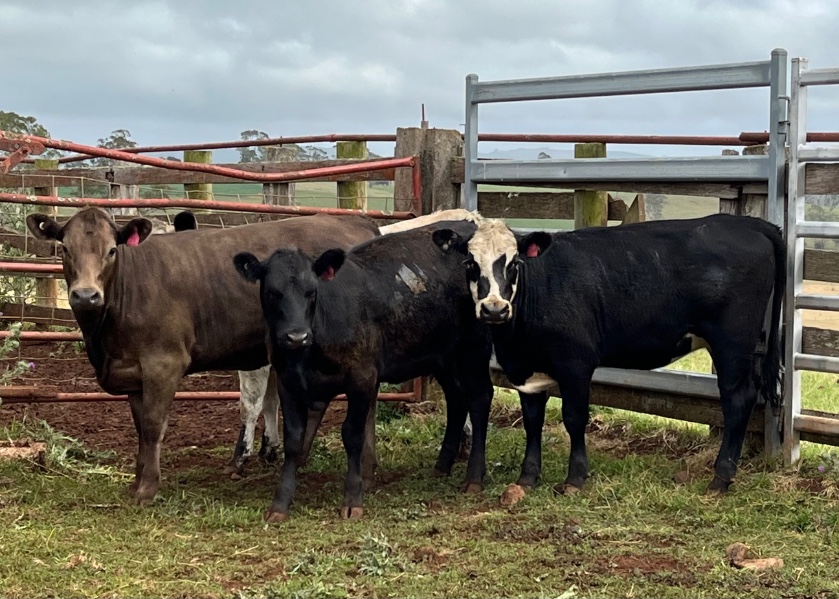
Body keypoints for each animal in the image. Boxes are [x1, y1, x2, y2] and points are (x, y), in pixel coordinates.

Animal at [234, 219, 494, 522]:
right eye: (272, 292)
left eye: (312, 292)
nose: (297, 336)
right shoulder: (288, 382)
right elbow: (294, 440)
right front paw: (280, 503)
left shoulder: (361, 379)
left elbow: (353, 435)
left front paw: (353, 497)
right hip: (442, 355)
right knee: (456, 400)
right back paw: (442, 465)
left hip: (473, 349)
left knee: (479, 398)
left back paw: (473, 477)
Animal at [432, 213, 784, 501]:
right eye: (470, 264)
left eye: (514, 263)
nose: (494, 309)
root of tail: (745, 223)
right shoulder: (526, 370)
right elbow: (533, 421)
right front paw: (528, 477)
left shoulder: (575, 363)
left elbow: (574, 418)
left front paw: (574, 479)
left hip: (731, 342)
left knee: (737, 399)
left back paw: (720, 479)